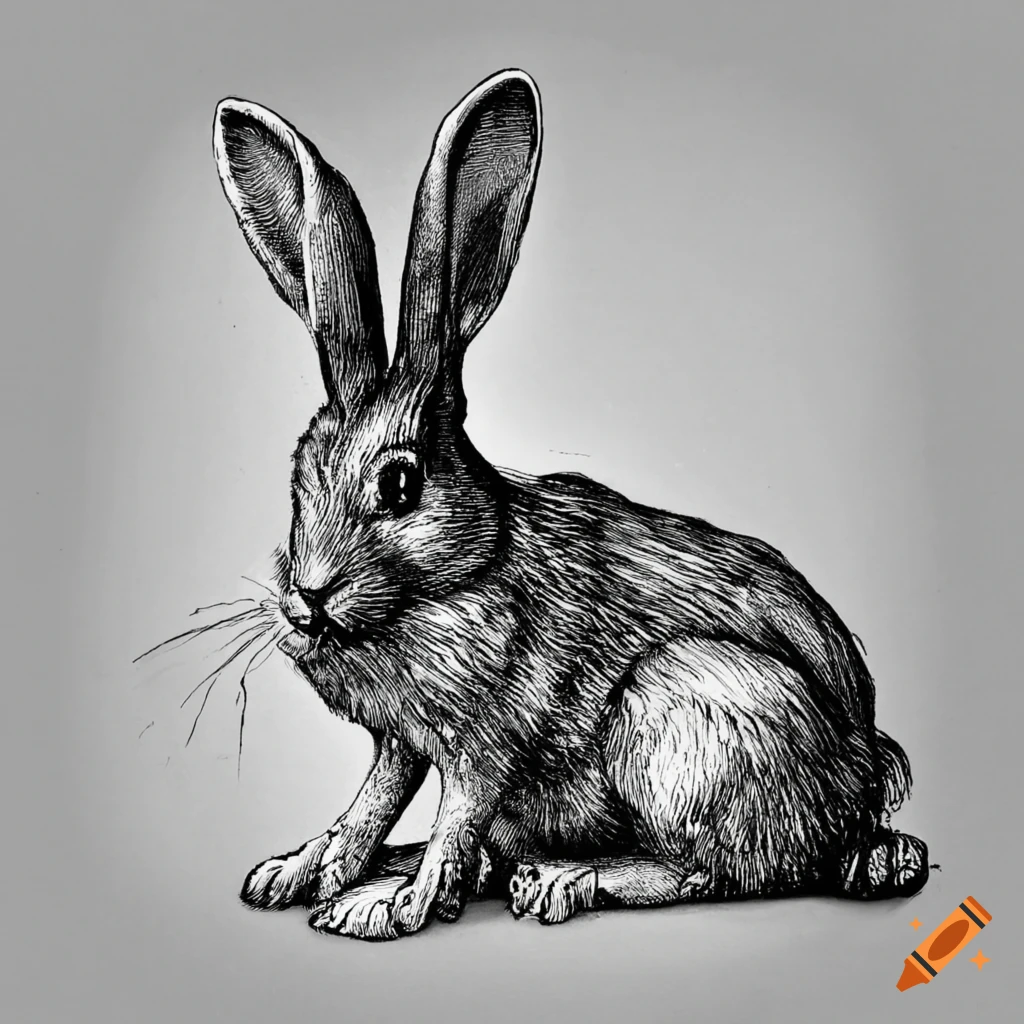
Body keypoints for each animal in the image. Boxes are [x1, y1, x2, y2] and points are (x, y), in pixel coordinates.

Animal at [211, 68, 928, 942]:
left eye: (399, 485)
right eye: (298, 479)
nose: (307, 598)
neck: (464, 569)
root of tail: (861, 787)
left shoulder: (488, 740)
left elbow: (456, 815)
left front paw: (395, 905)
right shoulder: (402, 742)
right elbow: (370, 805)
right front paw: (304, 872)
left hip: (680, 717)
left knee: (717, 872)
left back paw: (563, 878)